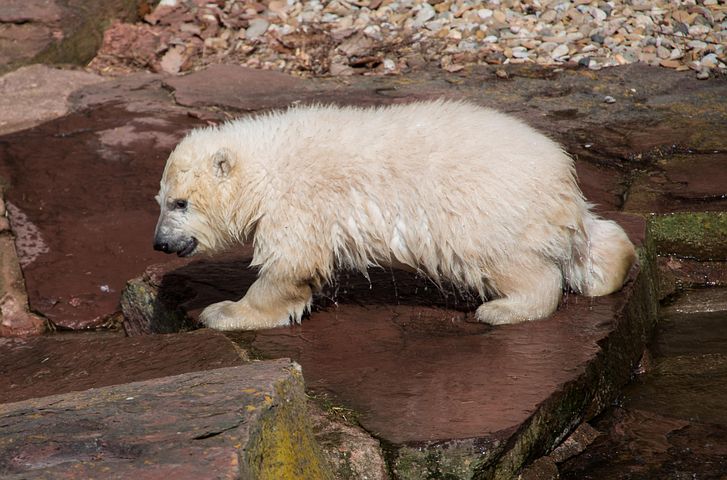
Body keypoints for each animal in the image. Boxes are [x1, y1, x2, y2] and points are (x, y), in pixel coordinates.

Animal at [153, 100, 636, 331]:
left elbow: (290, 265)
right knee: (592, 241)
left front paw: (223, 312)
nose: (160, 242)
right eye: (161, 200)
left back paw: (500, 309)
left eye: (181, 203)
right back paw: (613, 269)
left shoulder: (299, 200)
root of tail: (561, 178)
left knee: (516, 266)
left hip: (487, 213)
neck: (266, 164)